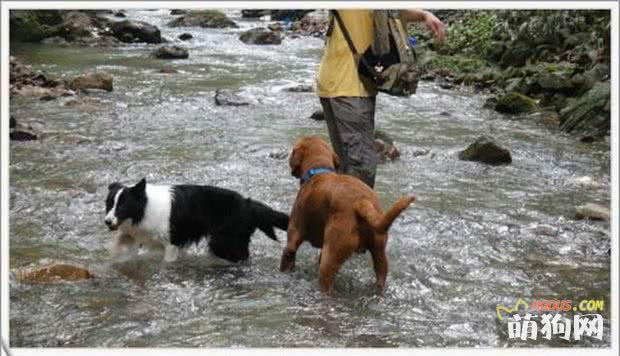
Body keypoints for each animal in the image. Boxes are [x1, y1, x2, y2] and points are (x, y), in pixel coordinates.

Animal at [280, 135, 414, 294]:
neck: (318, 171)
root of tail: (362, 202)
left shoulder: (292, 241)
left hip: (330, 258)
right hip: (379, 253)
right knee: (381, 275)